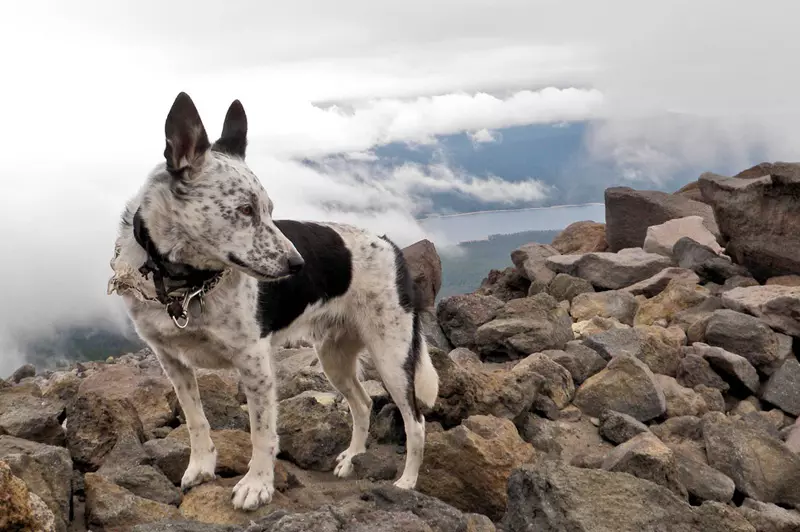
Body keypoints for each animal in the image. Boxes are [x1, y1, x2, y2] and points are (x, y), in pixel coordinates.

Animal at [108, 92, 438, 512]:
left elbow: (262, 432)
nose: (298, 265)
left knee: (416, 422)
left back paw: (407, 481)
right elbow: (196, 419)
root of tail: (390, 245)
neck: (186, 281)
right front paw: (201, 467)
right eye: (245, 209)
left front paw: (257, 485)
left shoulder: (254, 363)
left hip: (391, 355)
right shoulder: (171, 361)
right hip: (334, 356)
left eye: (270, 210)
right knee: (363, 404)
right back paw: (351, 458)